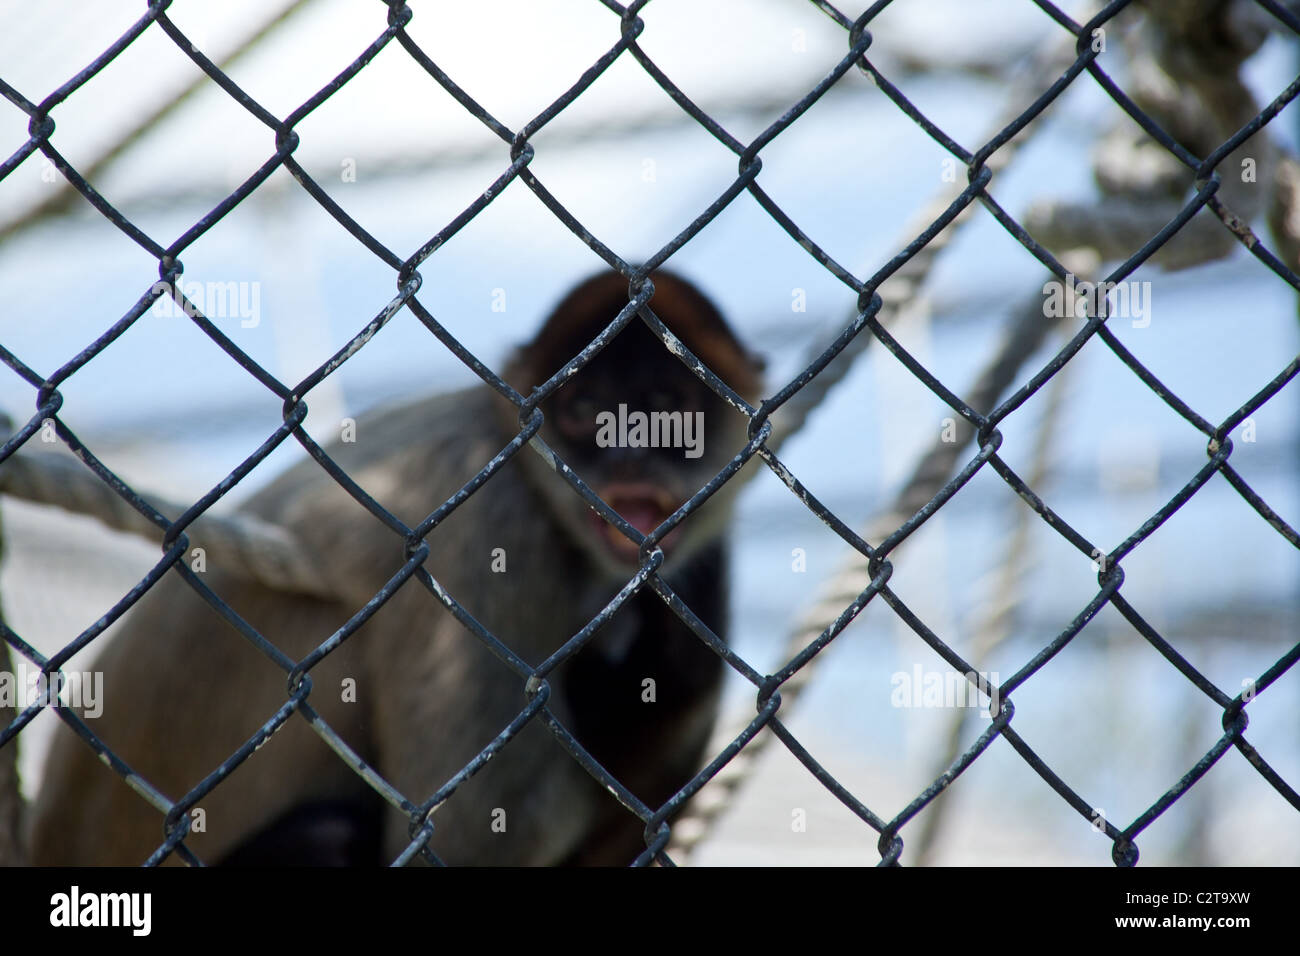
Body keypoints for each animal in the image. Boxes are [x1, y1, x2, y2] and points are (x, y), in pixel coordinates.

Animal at [27, 269, 764, 865]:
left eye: (668, 412)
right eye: (586, 413)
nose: (629, 456)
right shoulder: (492, 524)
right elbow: (480, 835)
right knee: (331, 837)